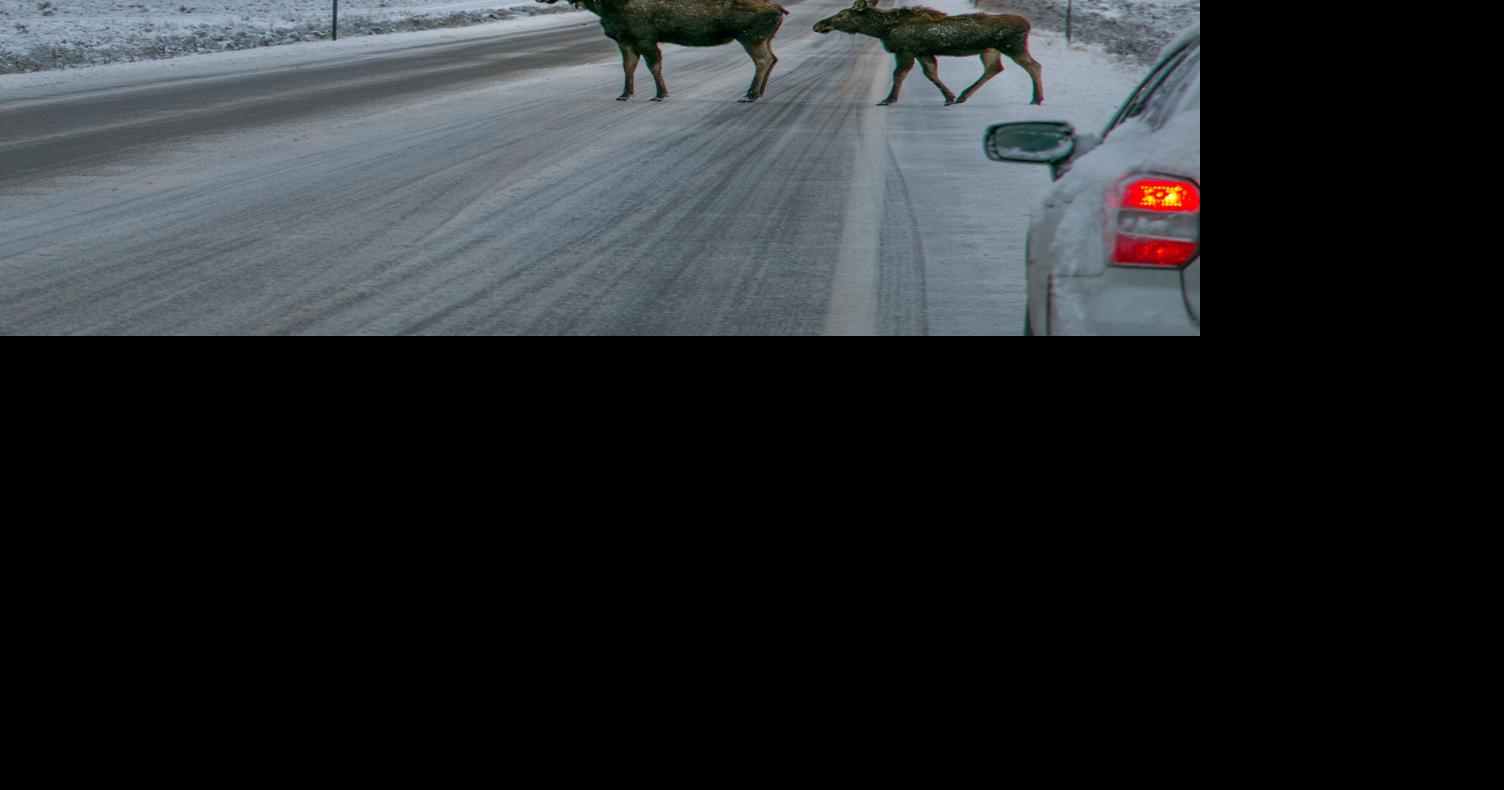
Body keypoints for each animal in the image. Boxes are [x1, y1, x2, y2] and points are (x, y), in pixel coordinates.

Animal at [538, 0, 790, 103]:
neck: (603, 7)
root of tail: (781, 10)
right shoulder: (626, 40)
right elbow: (628, 67)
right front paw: (625, 94)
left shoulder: (644, 37)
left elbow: (654, 66)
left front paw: (660, 94)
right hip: (763, 38)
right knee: (773, 58)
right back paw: (758, 92)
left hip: (751, 37)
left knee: (763, 60)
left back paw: (750, 95)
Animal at [813, 0, 1044, 107]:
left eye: (842, 14)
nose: (818, 25)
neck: (882, 30)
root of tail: (1028, 24)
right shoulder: (923, 52)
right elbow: (931, 74)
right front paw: (949, 97)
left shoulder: (905, 50)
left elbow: (899, 74)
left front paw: (888, 99)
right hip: (990, 50)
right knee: (994, 69)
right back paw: (963, 96)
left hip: (1012, 46)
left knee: (1034, 65)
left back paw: (1037, 98)